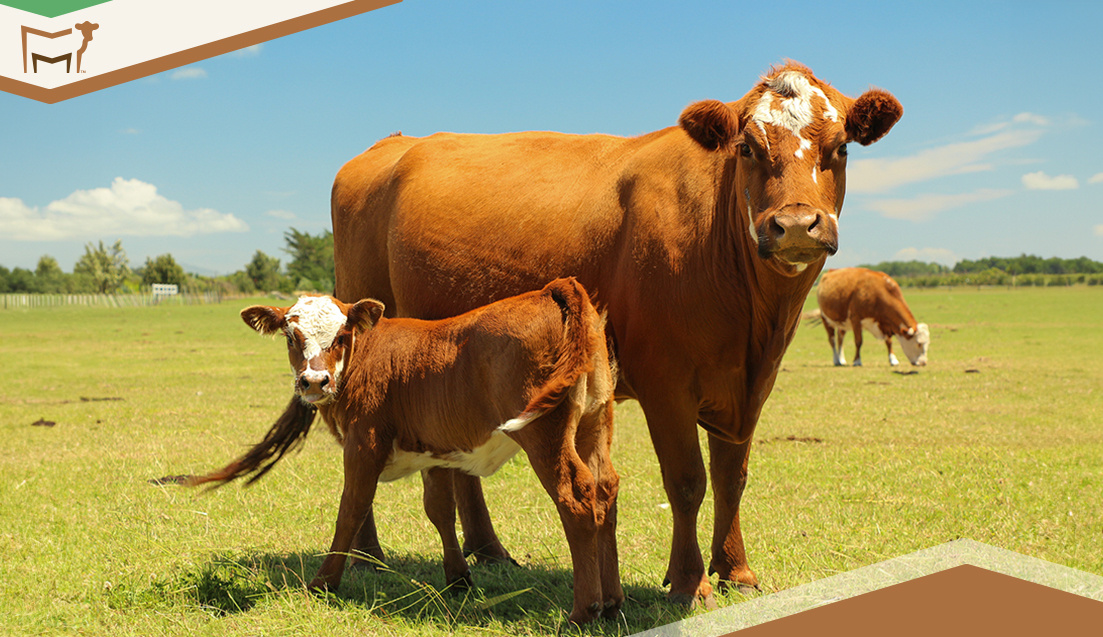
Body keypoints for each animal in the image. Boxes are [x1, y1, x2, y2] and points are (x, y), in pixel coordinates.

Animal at [190, 278, 621, 624]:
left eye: (341, 336)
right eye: (291, 337)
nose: (314, 381)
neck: (365, 356)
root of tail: (551, 289)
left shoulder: (364, 444)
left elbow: (352, 509)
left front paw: (324, 582)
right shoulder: (435, 451)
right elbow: (441, 511)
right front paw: (458, 579)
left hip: (544, 434)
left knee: (575, 499)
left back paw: (584, 611)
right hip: (594, 423)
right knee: (605, 491)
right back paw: (612, 602)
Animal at [330, 61, 903, 606]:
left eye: (841, 147)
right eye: (747, 147)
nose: (796, 225)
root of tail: (392, 144)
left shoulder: (750, 386)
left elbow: (731, 478)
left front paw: (736, 570)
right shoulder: (665, 382)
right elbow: (687, 480)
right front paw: (690, 580)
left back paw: (488, 550)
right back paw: (366, 557)